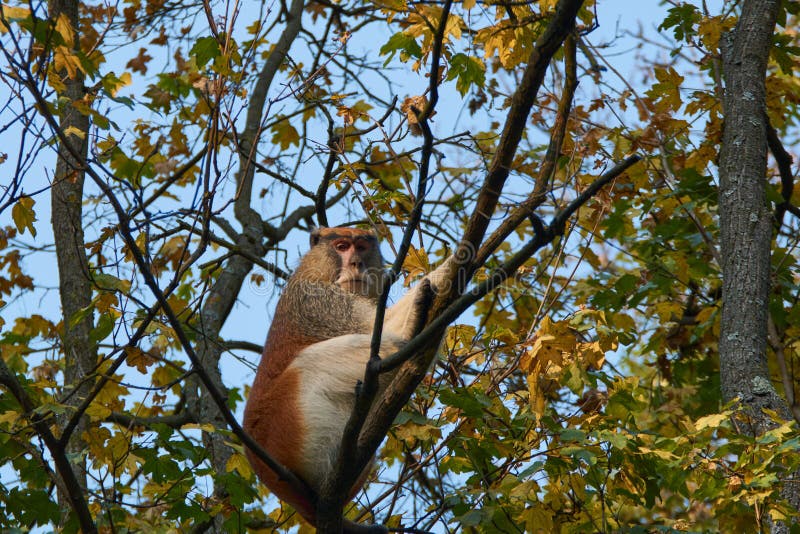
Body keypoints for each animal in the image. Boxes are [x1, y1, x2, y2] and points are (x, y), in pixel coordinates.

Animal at [243, 227, 454, 533]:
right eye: (342, 246)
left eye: (362, 247)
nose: (356, 263)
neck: (316, 270)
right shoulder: (319, 300)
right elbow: (376, 328)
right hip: (290, 426)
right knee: (312, 363)